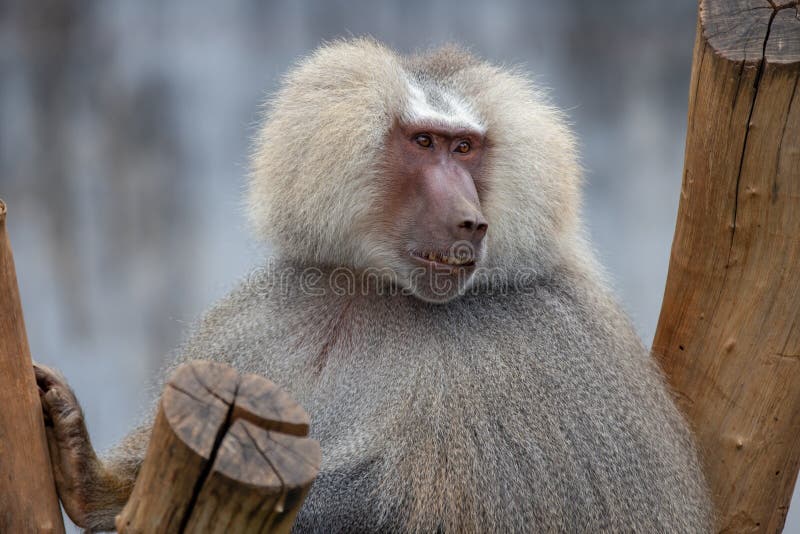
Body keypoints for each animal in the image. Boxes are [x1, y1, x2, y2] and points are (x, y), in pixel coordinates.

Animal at [35, 38, 713, 532]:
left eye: (466, 149)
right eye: (425, 142)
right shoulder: (267, 318)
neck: (374, 291)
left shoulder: (536, 358)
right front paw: (87, 472)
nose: (471, 221)